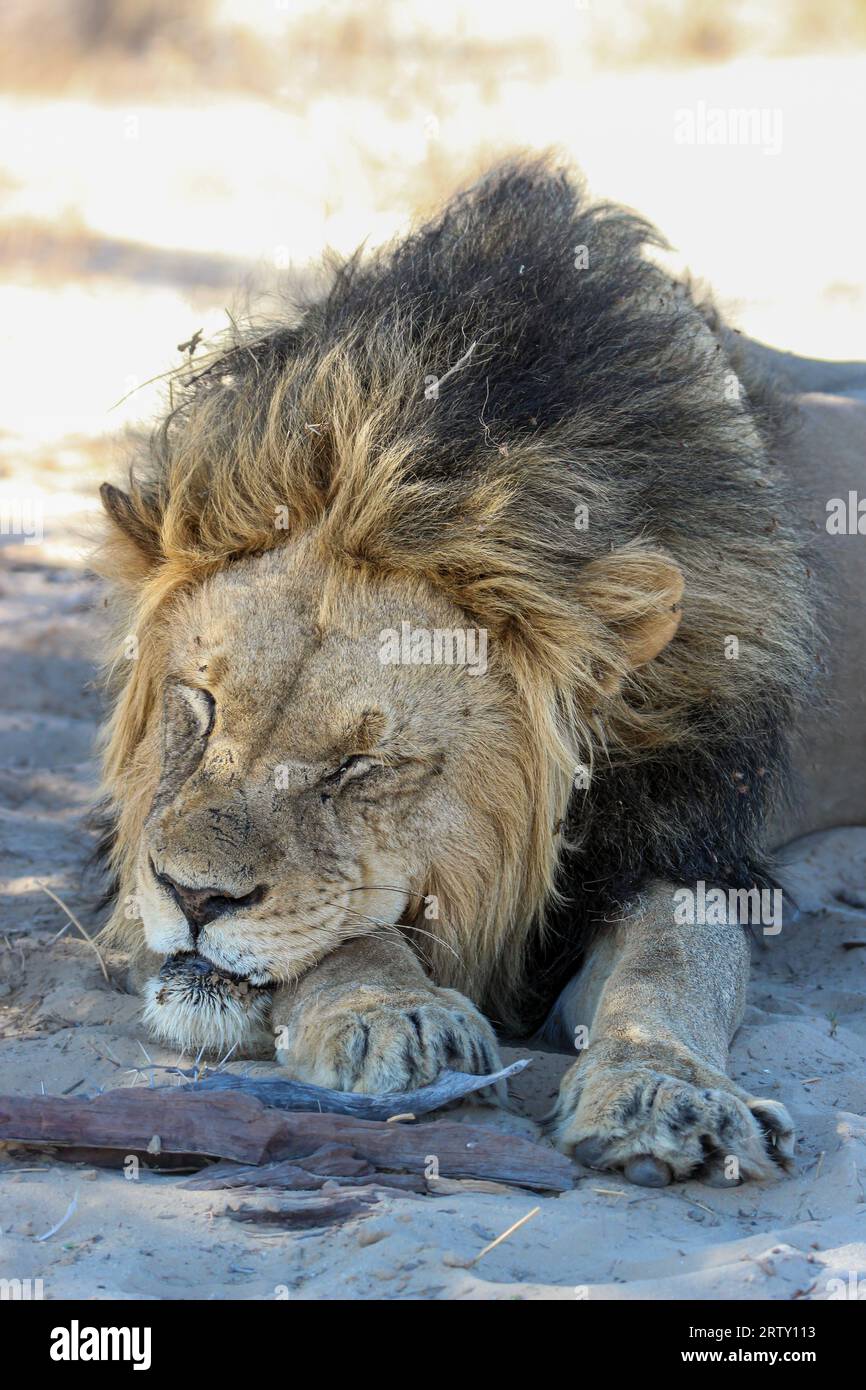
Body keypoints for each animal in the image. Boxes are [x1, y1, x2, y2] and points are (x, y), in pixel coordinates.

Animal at [92, 156, 866, 1187]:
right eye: (201, 705)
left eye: (364, 768)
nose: (192, 897)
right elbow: (349, 933)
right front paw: (394, 1014)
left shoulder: (684, 839)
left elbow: (680, 955)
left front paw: (663, 1092)